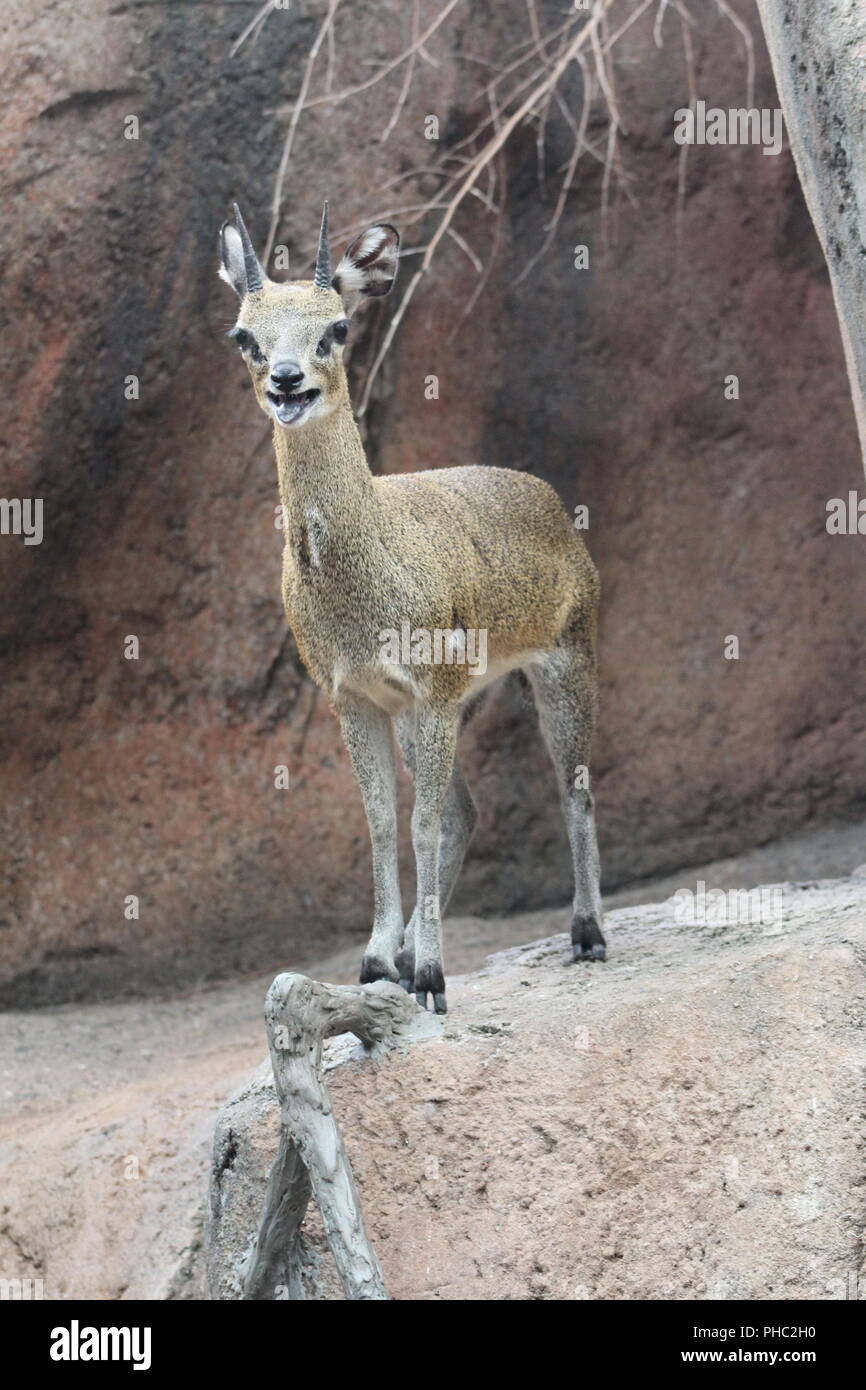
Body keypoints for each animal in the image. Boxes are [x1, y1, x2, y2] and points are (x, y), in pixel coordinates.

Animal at [219, 202, 604, 1013]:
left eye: (337, 327)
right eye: (245, 335)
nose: (287, 382)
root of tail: (549, 499)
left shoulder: (432, 692)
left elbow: (419, 822)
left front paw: (430, 975)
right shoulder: (359, 697)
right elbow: (381, 821)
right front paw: (375, 962)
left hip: (565, 661)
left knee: (572, 784)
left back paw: (588, 935)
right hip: (458, 700)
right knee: (467, 809)